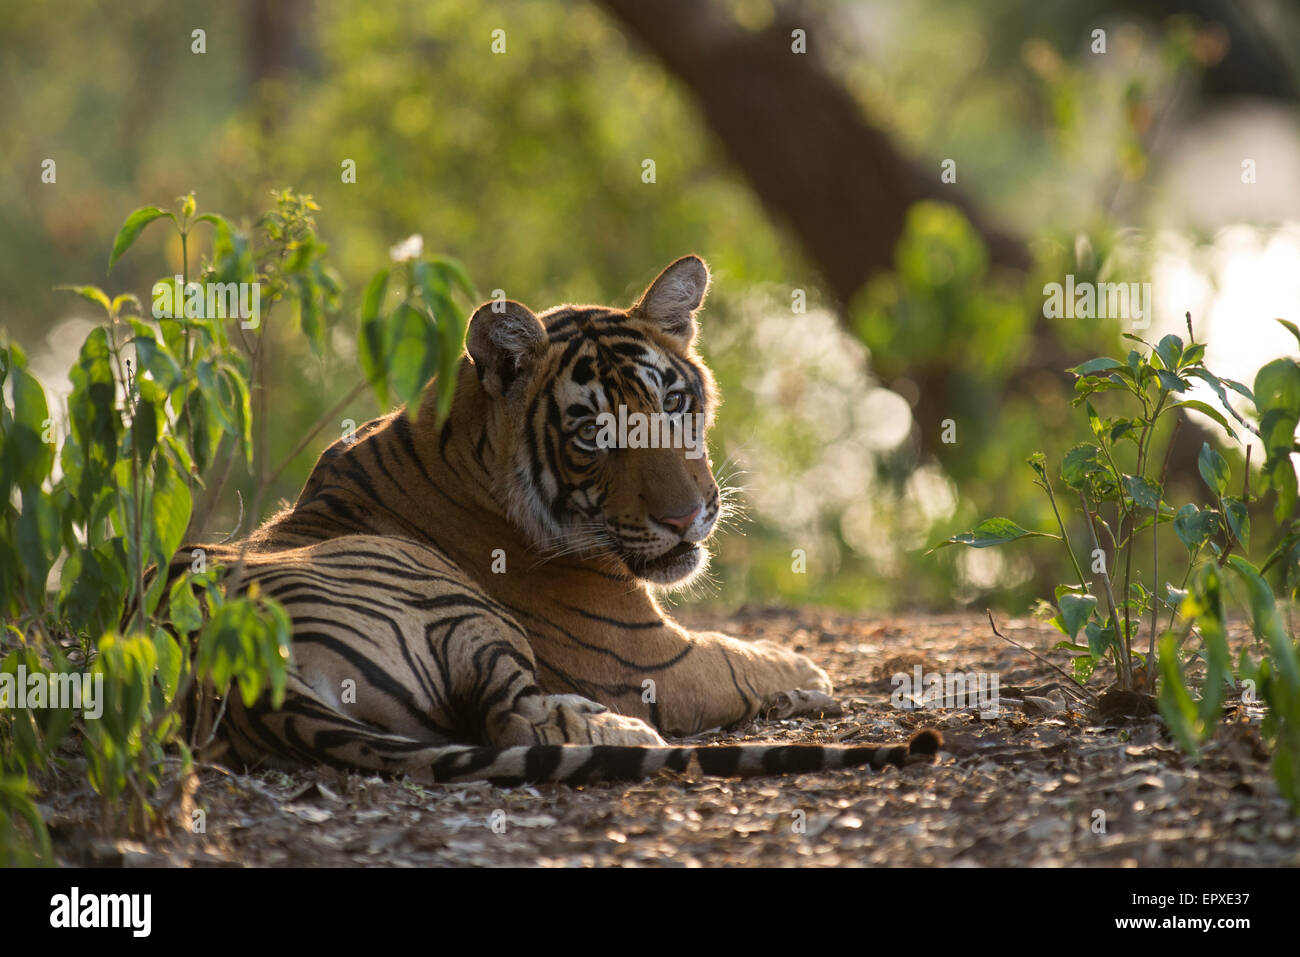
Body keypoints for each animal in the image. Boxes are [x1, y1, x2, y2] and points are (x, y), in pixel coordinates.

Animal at [178, 255, 941, 784]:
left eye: (673, 404)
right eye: (593, 433)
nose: (686, 516)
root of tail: (240, 667)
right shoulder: (651, 656)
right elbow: (740, 656)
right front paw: (805, 671)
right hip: (449, 598)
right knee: (516, 721)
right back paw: (629, 733)